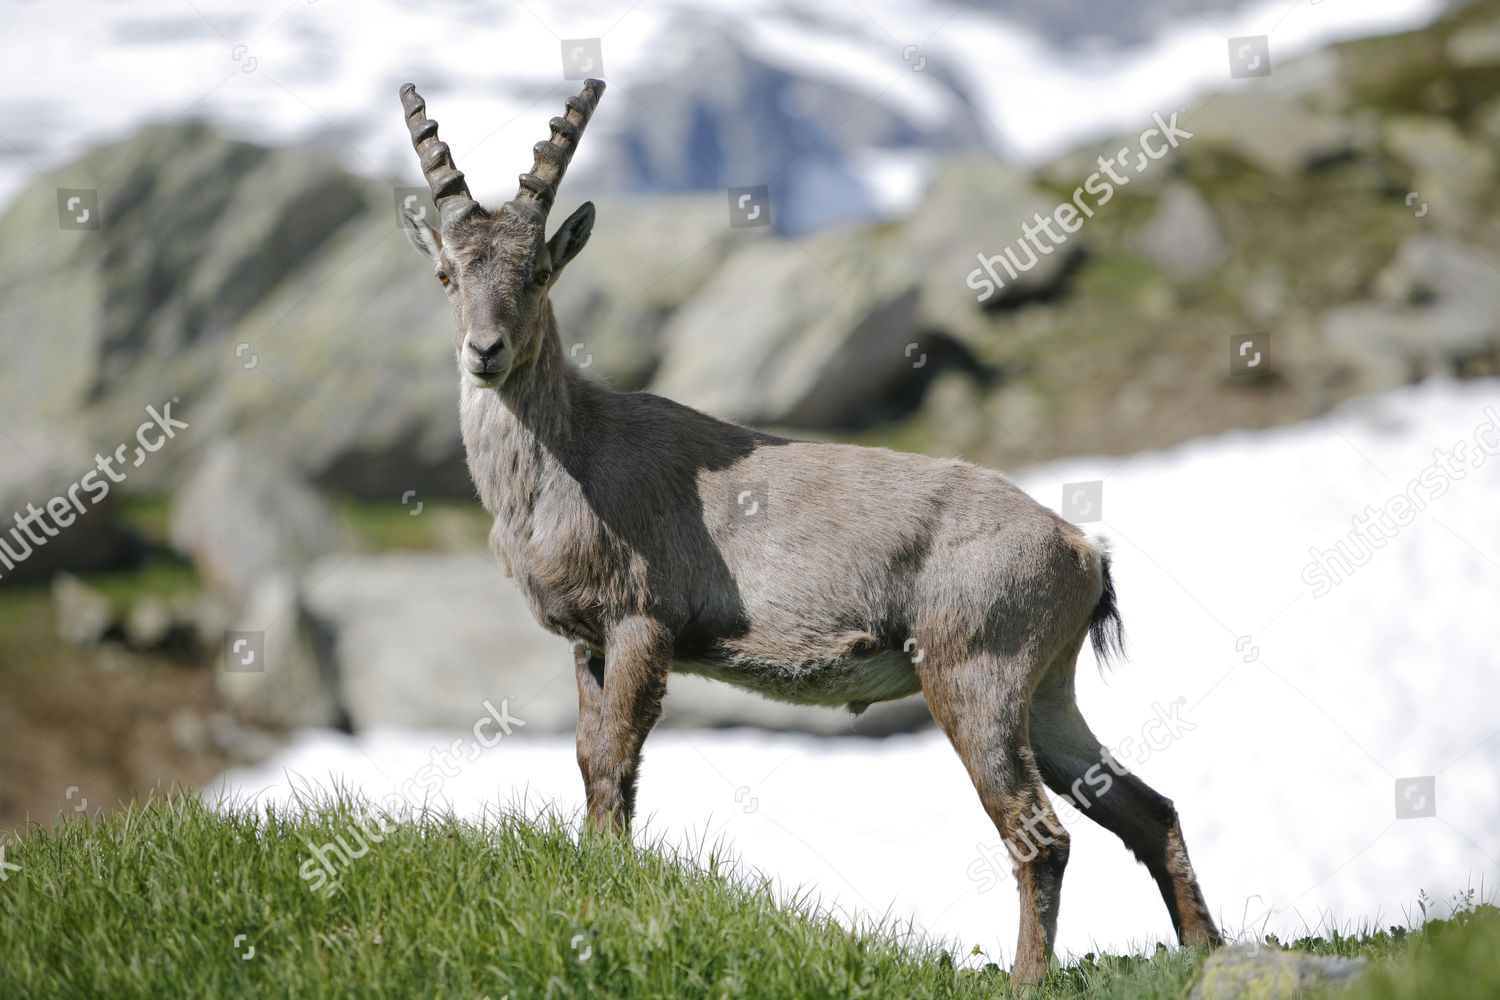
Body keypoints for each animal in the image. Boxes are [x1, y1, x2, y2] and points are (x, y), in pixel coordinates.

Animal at [397, 79, 1222, 985]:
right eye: (445, 273)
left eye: (539, 272)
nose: (485, 351)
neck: (568, 460)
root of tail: (1081, 551)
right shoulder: (588, 639)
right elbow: (588, 762)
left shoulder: (644, 622)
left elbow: (617, 760)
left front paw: (606, 893)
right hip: (1047, 691)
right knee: (1148, 808)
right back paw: (1204, 951)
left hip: (977, 674)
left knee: (1041, 836)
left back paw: (1027, 981)